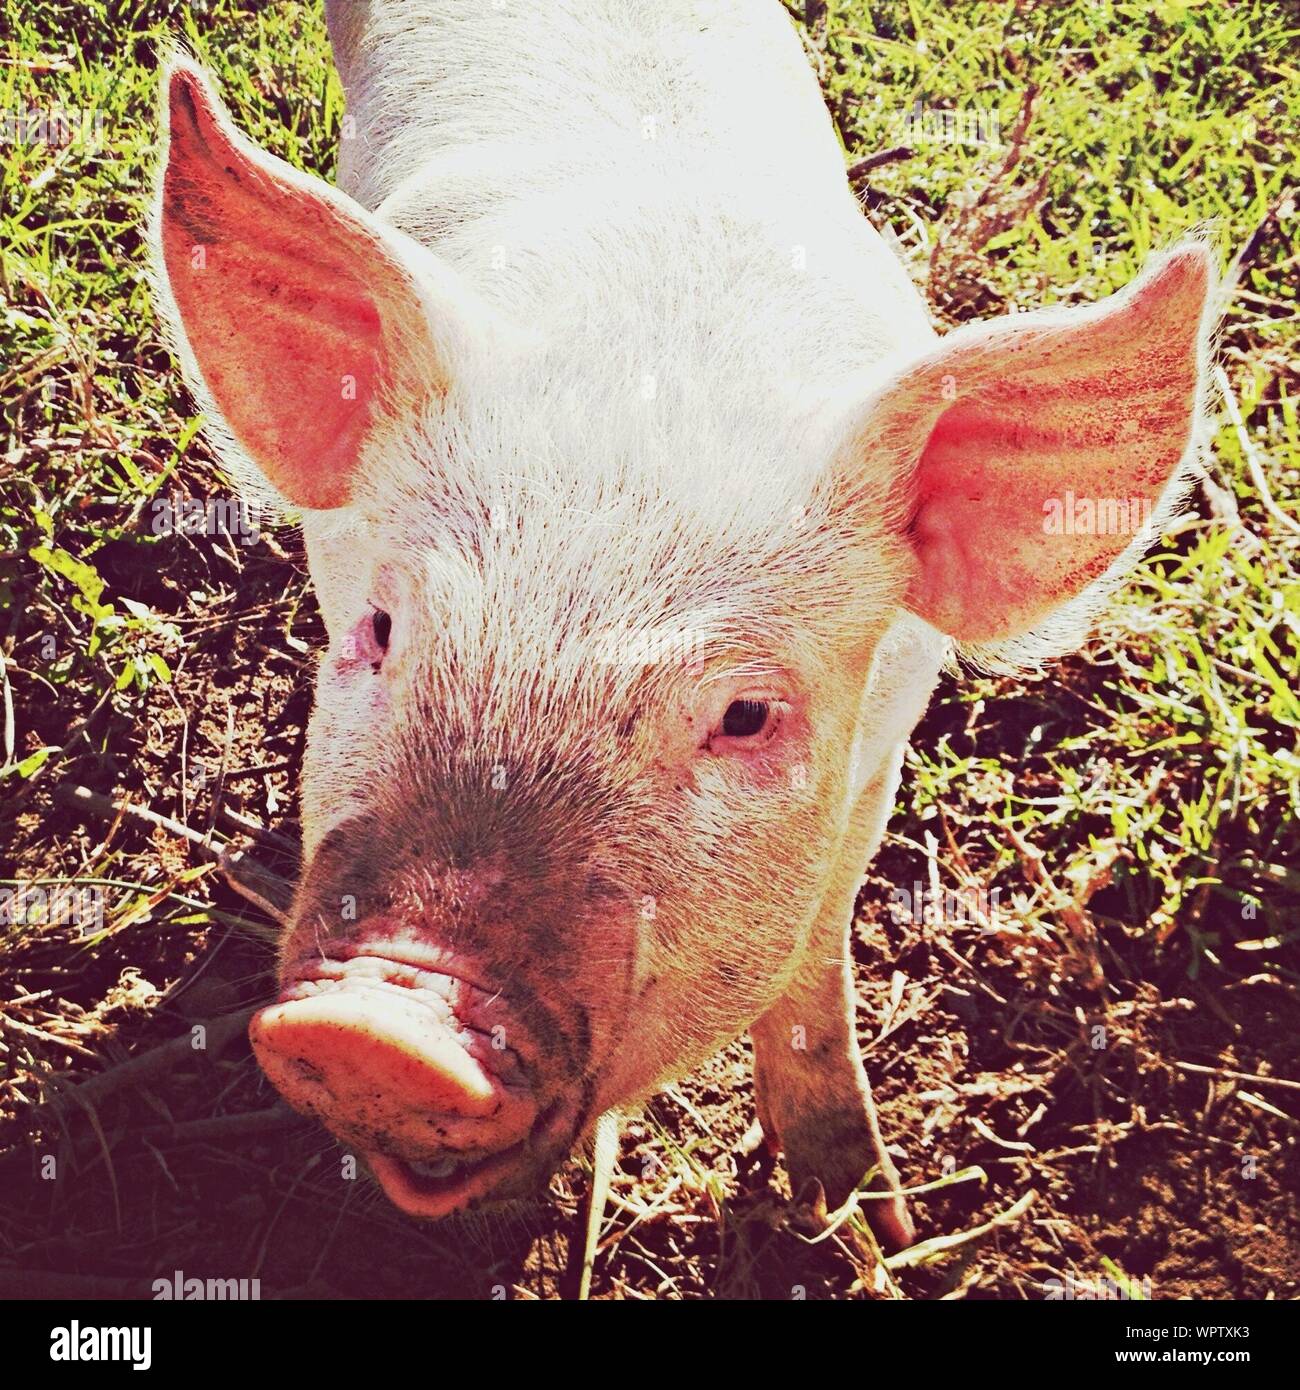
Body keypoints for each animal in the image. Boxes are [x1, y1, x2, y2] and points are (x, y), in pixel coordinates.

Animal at [150, 0, 1215, 1252]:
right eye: (380, 627)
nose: (381, 1026)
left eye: (746, 715)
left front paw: (875, 1218)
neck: (655, 379)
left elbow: (818, 957)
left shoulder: (882, 751)